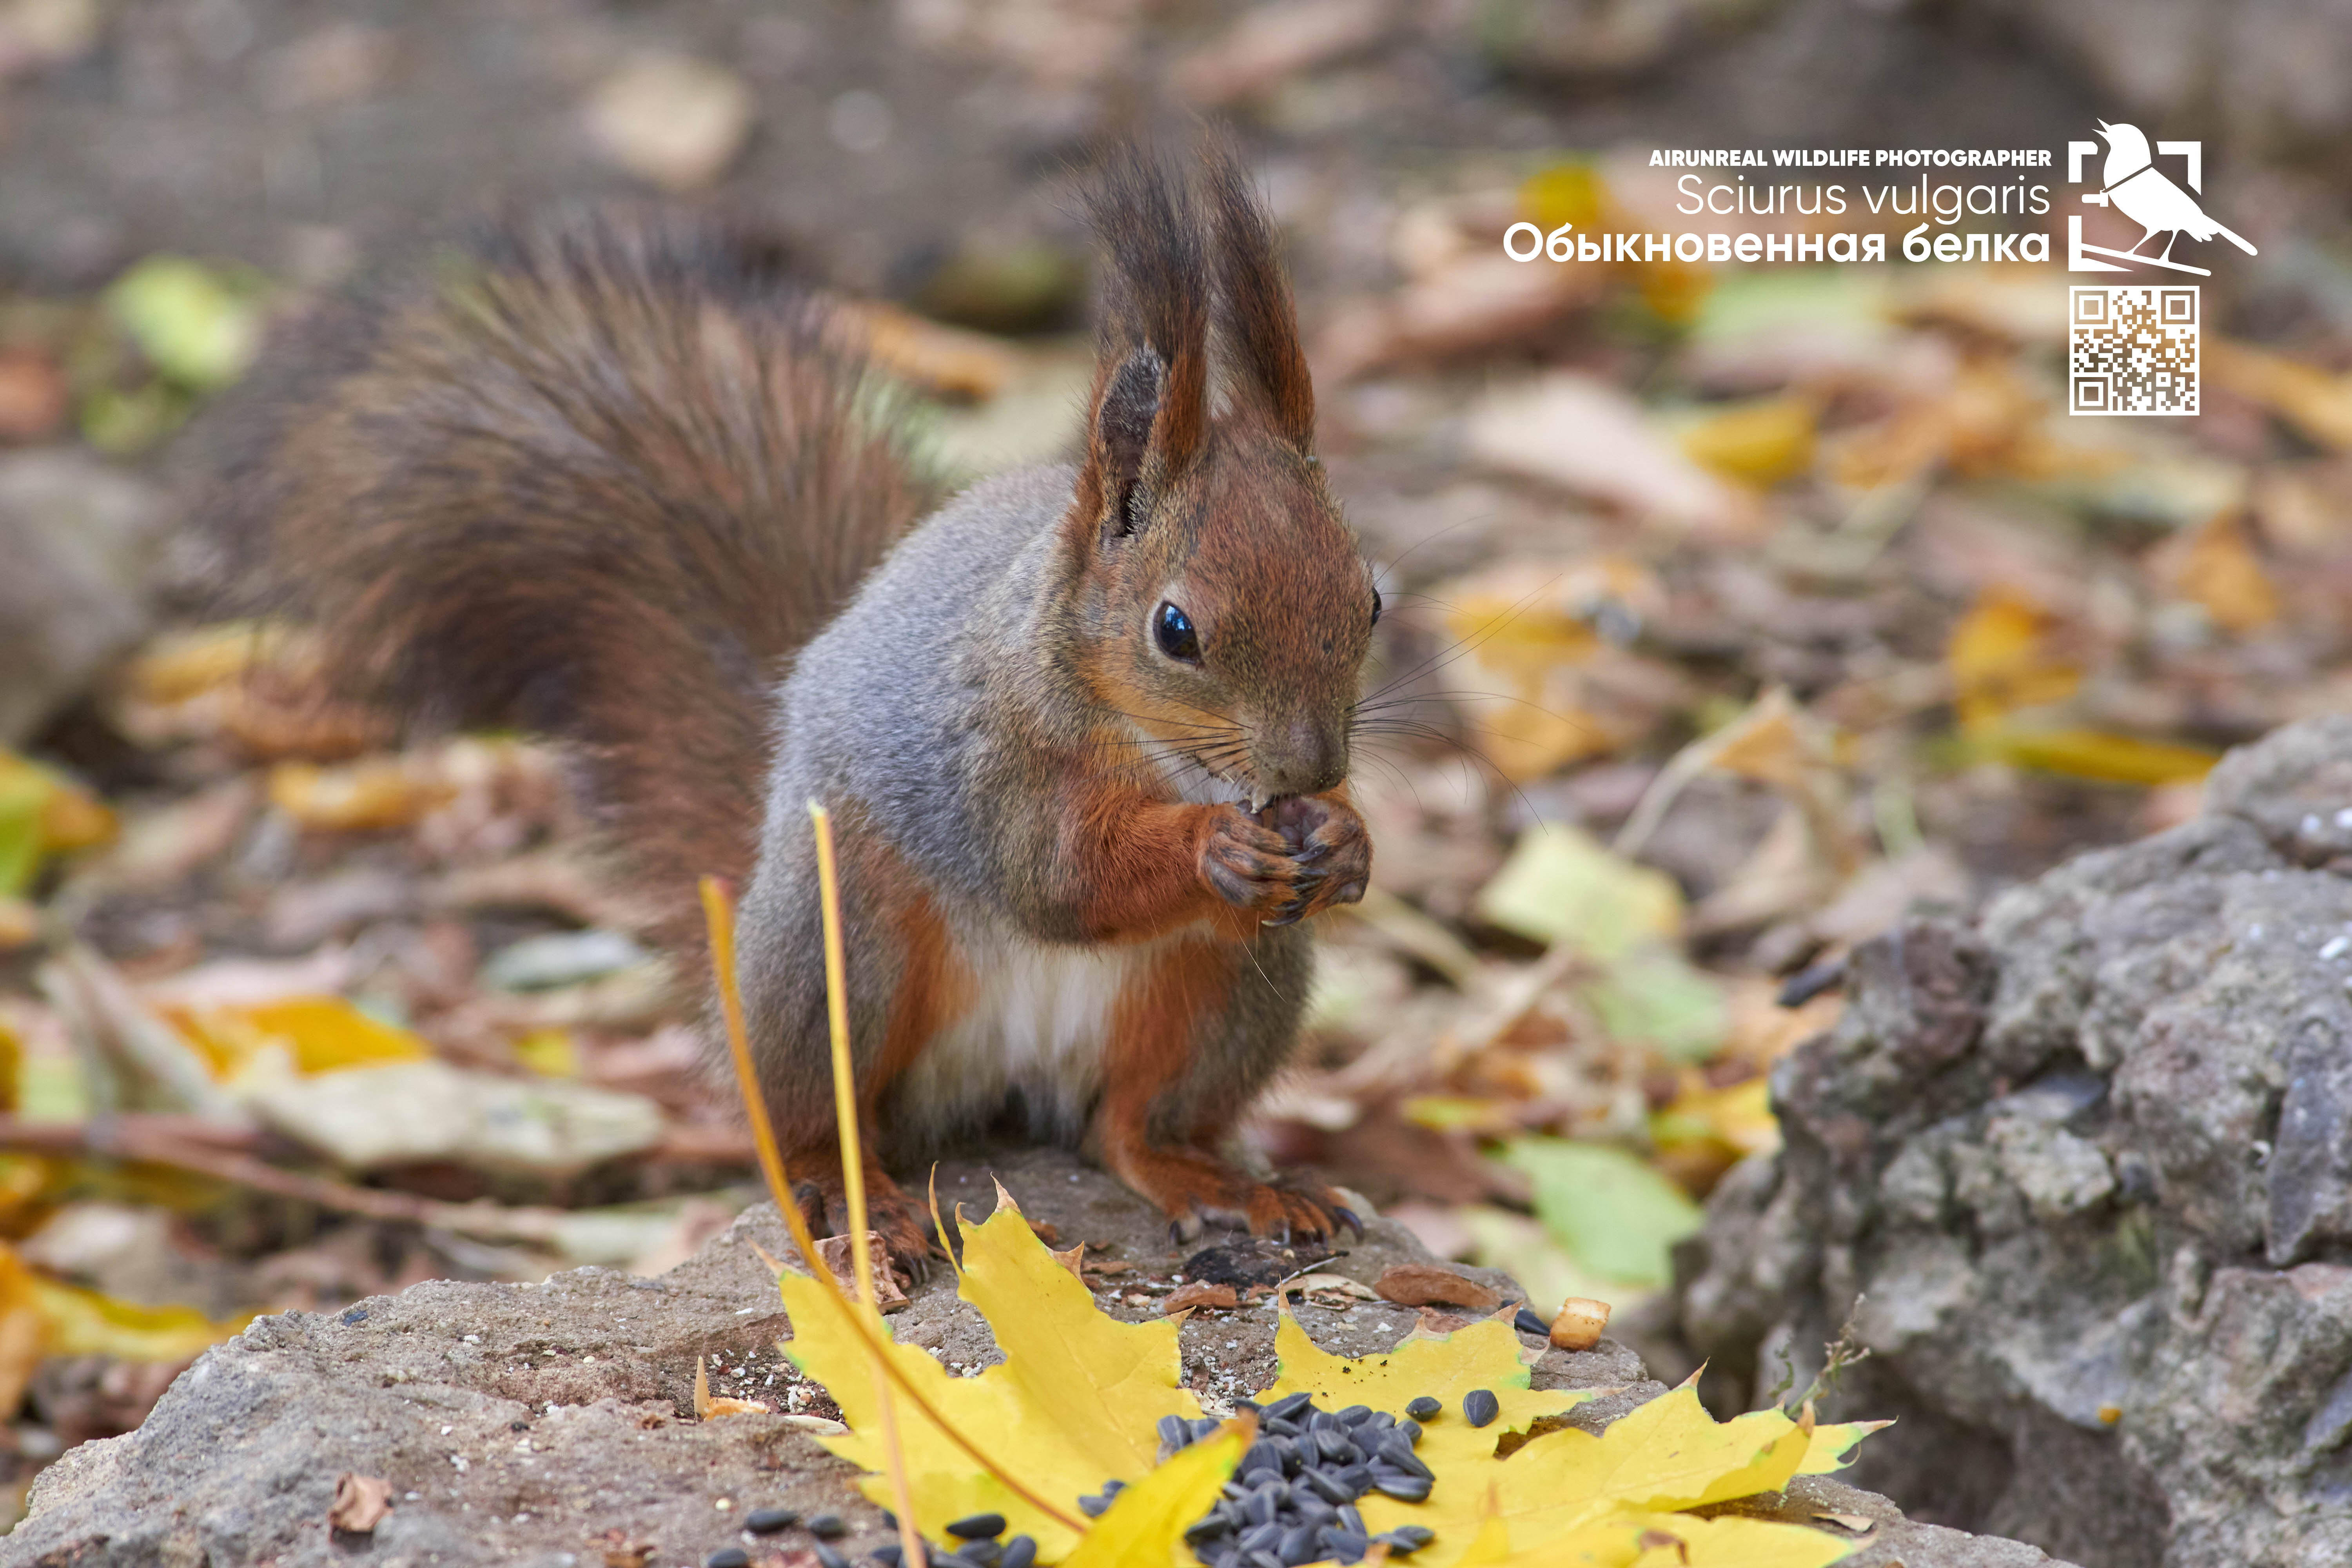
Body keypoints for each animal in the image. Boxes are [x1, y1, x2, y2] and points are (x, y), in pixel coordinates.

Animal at [207, 147, 1374, 1269]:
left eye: (1369, 598)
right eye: (1175, 630)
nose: (1308, 770)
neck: (1156, 745)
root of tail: (1001, 1083)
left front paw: (1345, 838)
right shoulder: (986, 760)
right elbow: (1058, 877)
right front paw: (1212, 844)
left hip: (1231, 986)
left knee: (1127, 1126)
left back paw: (1217, 1180)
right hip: (838, 947)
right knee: (819, 1120)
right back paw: (851, 1198)